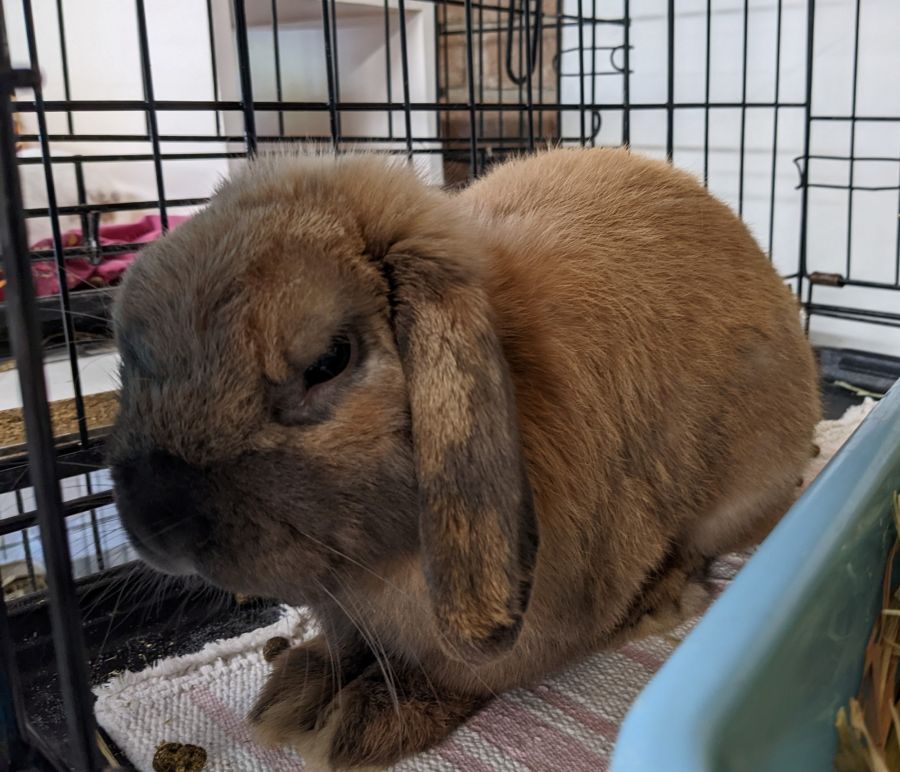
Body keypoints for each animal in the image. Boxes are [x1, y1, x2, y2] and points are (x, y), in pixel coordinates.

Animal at [108, 147, 820, 770]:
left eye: (328, 361)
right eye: (129, 355)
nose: (155, 523)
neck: (373, 564)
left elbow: (459, 675)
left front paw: (367, 723)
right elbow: (343, 646)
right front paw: (297, 692)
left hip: (740, 493)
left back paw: (660, 600)